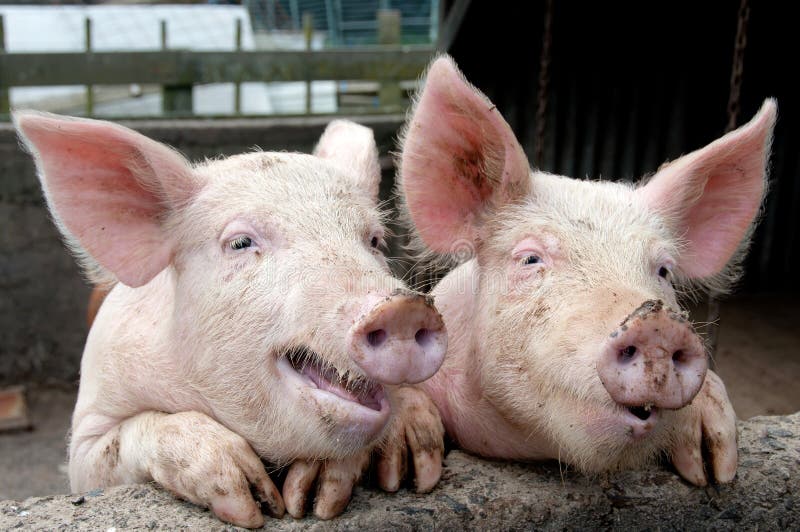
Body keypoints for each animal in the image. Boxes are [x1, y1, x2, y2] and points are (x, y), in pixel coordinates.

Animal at [15, 112, 448, 527]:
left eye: (374, 241)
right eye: (240, 242)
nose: (404, 309)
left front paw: (330, 495)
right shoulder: (88, 433)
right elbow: (117, 444)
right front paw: (253, 503)